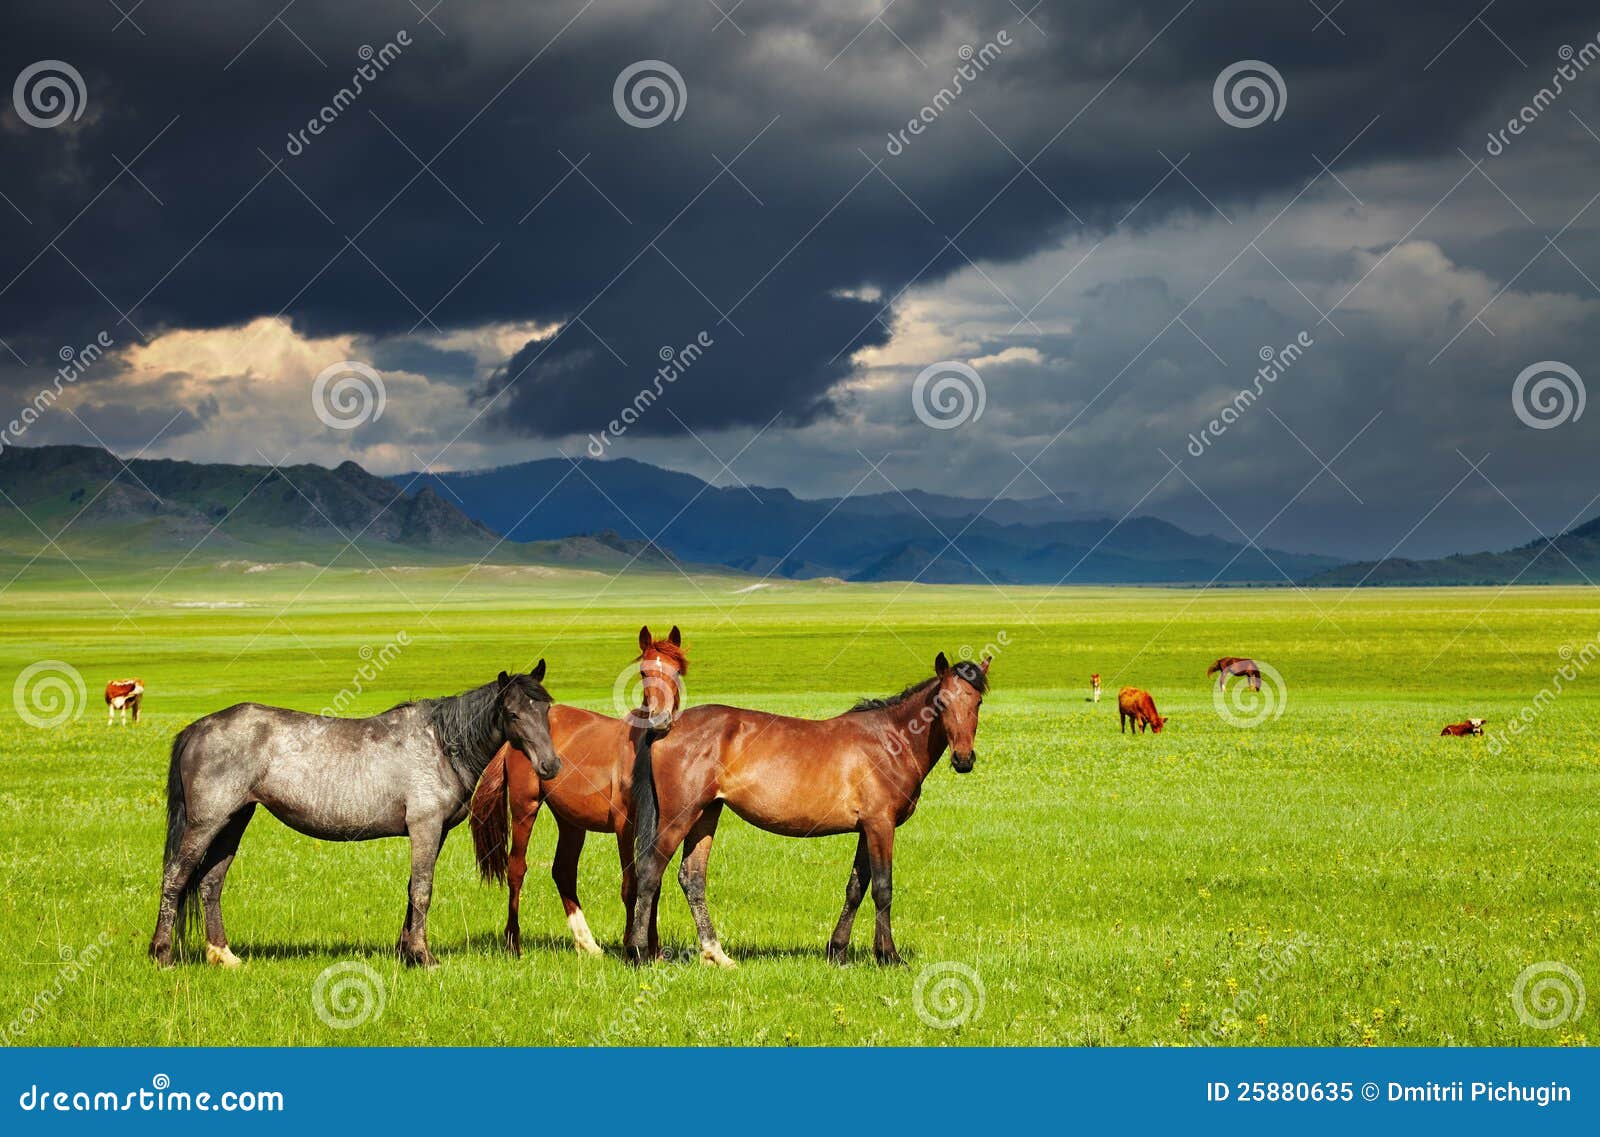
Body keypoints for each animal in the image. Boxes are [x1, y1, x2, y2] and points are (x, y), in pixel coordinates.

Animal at [149, 663, 560, 969]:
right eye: (512, 713)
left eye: (546, 709)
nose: (550, 765)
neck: (440, 744)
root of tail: (197, 728)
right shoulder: (425, 827)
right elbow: (423, 890)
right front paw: (424, 956)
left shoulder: (435, 832)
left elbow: (412, 888)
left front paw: (406, 953)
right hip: (206, 823)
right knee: (176, 877)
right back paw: (162, 954)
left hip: (234, 821)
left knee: (210, 883)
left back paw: (224, 955)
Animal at [469, 626, 686, 958]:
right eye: (644, 671)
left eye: (676, 670)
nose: (660, 720)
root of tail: (511, 739)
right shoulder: (624, 826)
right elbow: (631, 885)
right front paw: (632, 948)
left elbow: (653, 882)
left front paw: (654, 949)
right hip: (524, 808)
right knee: (517, 867)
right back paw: (513, 943)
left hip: (571, 821)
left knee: (563, 871)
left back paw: (588, 943)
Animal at [626, 651, 989, 968]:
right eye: (943, 702)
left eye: (977, 702)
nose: (963, 759)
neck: (891, 741)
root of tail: (668, 726)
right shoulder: (880, 825)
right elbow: (882, 889)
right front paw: (889, 956)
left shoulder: (866, 830)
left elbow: (856, 889)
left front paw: (838, 951)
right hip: (679, 816)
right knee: (650, 872)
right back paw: (640, 953)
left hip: (706, 814)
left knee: (692, 878)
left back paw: (717, 956)